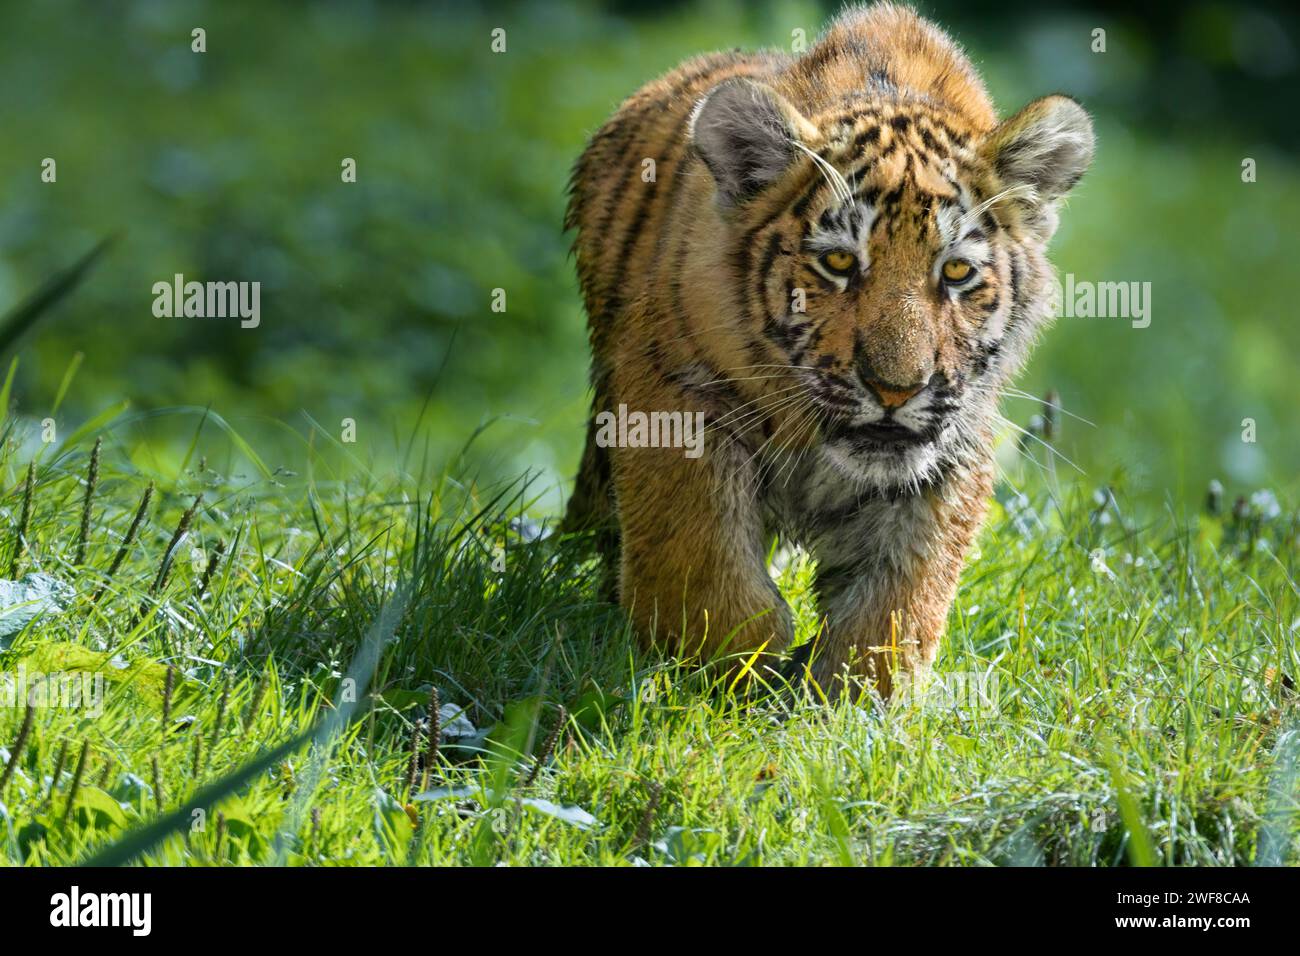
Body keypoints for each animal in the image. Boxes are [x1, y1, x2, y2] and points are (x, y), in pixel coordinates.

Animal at [561, 2, 1094, 700]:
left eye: (955, 272)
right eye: (839, 263)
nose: (896, 389)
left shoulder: (956, 442)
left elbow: (900, 600)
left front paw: (856, 698)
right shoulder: (674, 392)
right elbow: (703, 562)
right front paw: (721, 676)